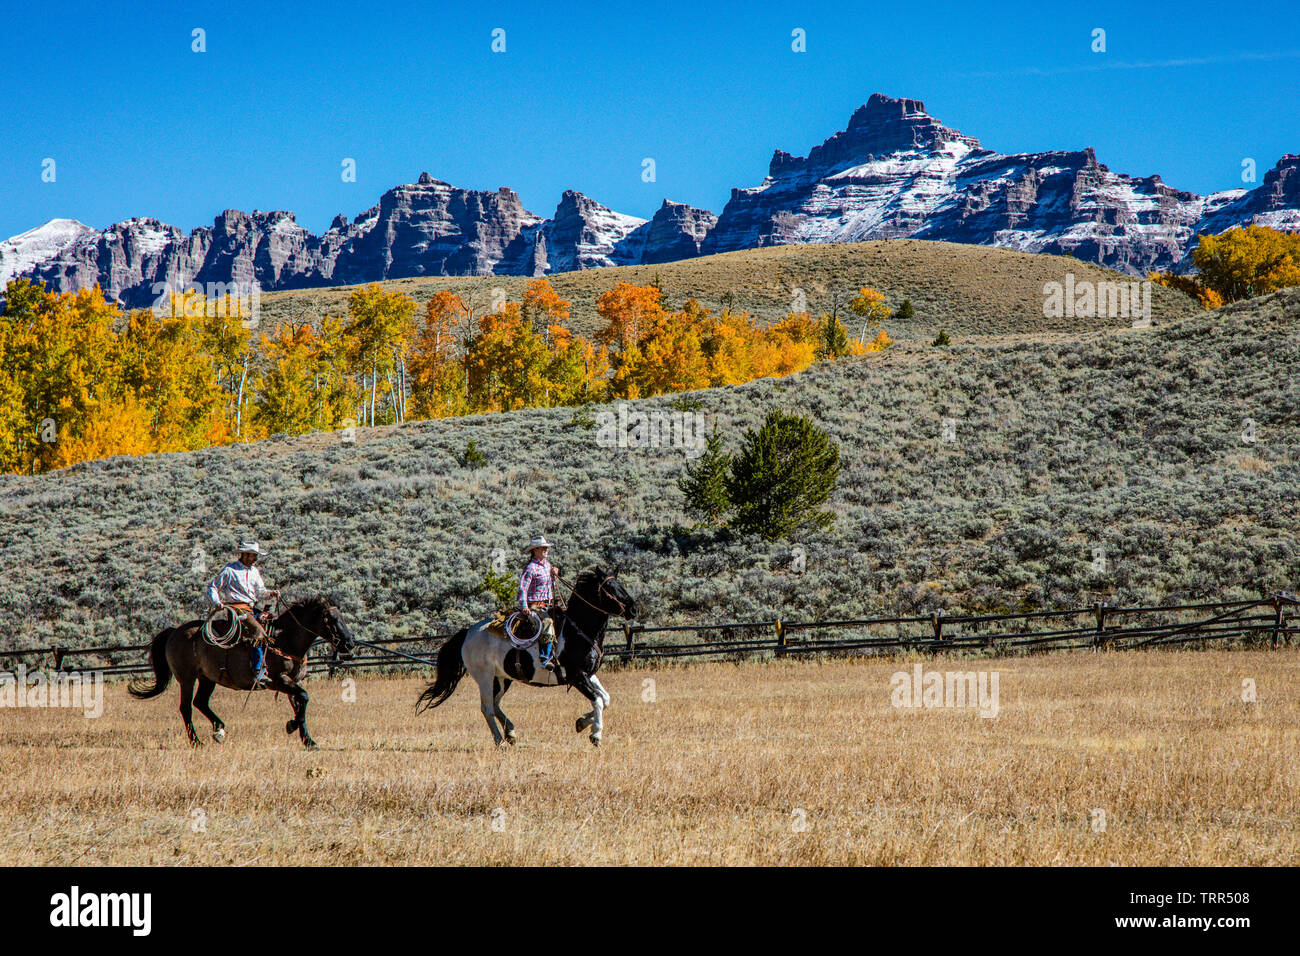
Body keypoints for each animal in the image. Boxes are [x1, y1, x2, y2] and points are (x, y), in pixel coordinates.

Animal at [128, 596, 356, 749]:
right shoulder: (279, 681)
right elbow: (304, 697)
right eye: (331, 619)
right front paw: (292, 726)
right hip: (187, 678)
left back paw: (219, 730)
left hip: (207, 678)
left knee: (200, 702)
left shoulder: (292, 682)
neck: (285, 639)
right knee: (186, 708)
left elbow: (301, 704)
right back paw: (196, 741)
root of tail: (174, 631)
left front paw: (308, 740)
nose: (349, 643)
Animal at [417, 567, 637, 747]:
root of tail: (468, 632)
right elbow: (598, 701)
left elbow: (605, 699)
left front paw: (581, 723)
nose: (633, 608)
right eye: (611, 588)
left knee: (495, 704)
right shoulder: (577, 677)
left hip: (502, 679)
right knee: (487, 708)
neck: (578, 630)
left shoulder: (589, 674)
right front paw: (595, 734)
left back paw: (510, 733)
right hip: (484, 678)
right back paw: (500, 740)